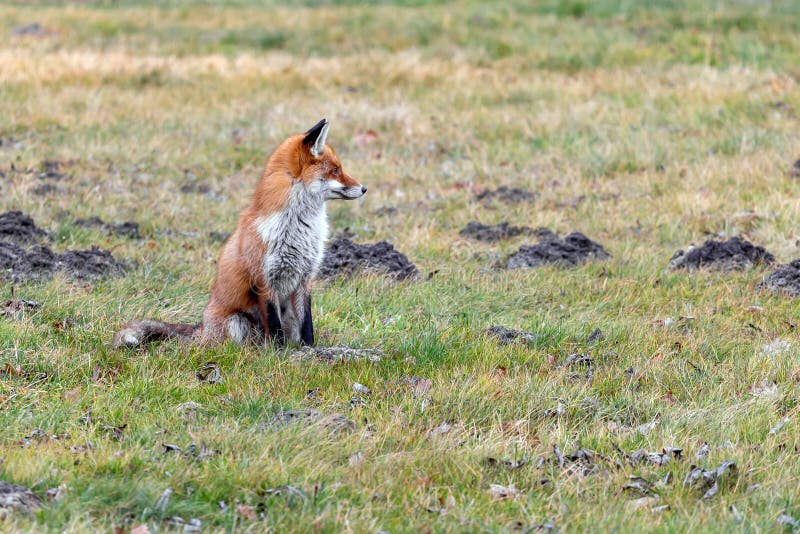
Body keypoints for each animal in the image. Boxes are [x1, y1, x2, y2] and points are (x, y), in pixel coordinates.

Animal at [114, 118, 366, 348]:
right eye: (336, 170)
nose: (364, 188)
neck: (298, 228)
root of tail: (202, 330)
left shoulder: (305, 279)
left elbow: (307, 326)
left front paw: (309, 350)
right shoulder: (264, 280)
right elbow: (274, 327)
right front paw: (280, 354)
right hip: (236, 322)